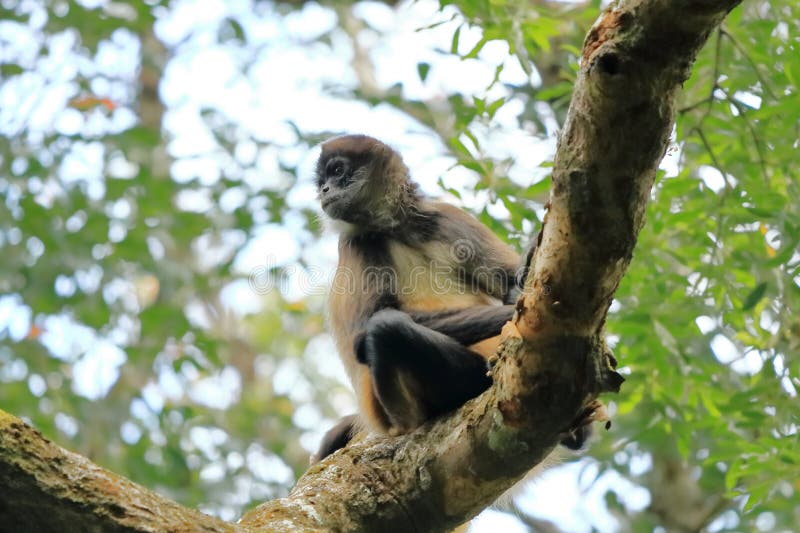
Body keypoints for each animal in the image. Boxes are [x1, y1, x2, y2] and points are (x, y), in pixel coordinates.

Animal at [312, 134, 591, 463]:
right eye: (323, 181)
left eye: (337, 172)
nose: (324, 191)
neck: (395, 228)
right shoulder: (355, 242)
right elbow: (362, 336)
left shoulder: (441, 216)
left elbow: (510, 281)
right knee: (386, 327)